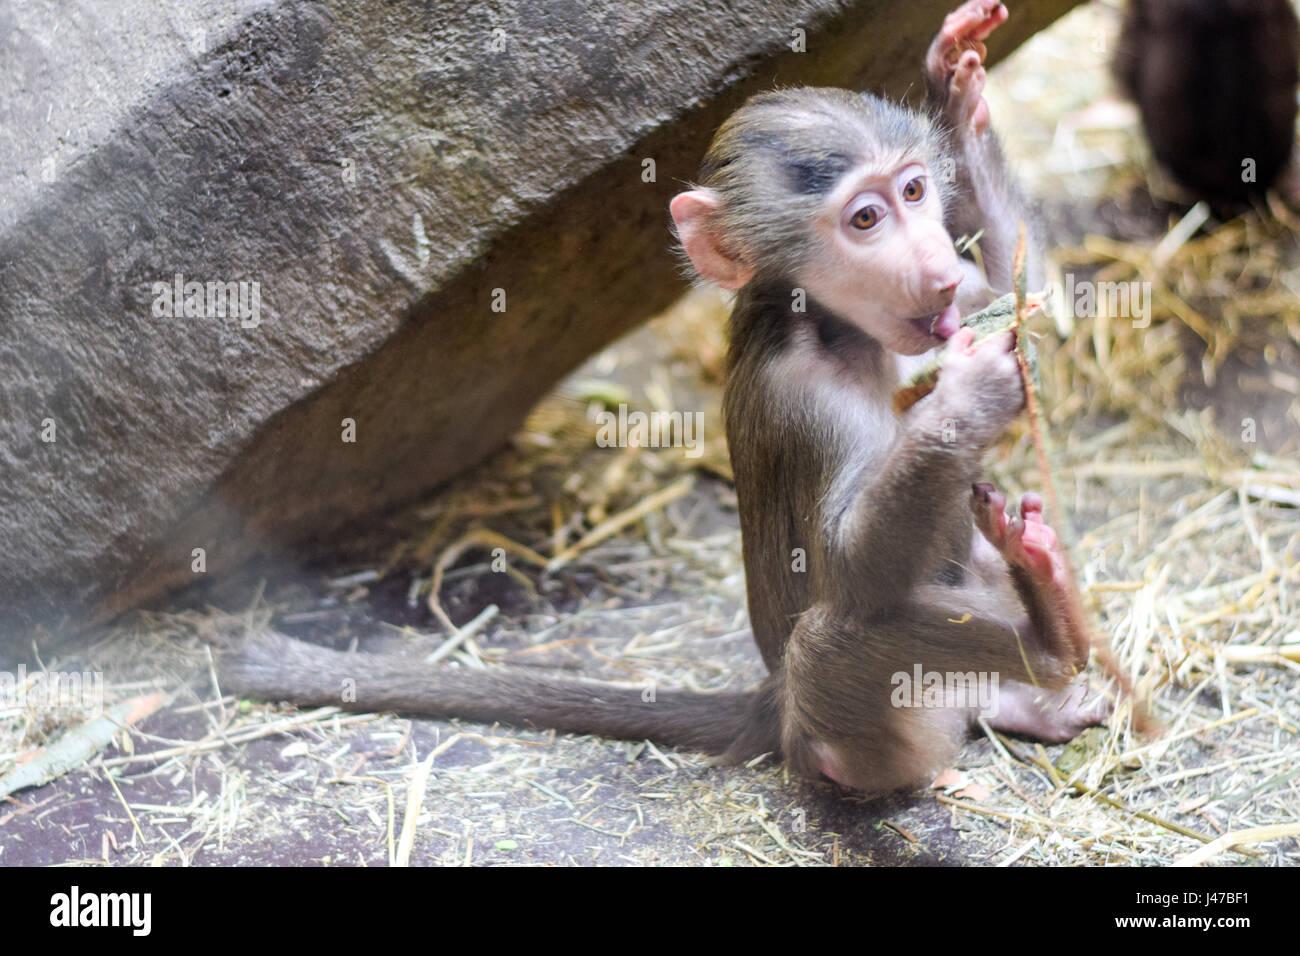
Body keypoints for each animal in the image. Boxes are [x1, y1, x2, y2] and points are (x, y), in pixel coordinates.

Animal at [221, 1, 1107, 794]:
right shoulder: (802, 395)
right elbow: (850, 570)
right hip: (857, 740)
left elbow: (1025, 299)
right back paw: (1048, 639)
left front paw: (955, 91)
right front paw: (974, 391)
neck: (832, 328)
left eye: (916, 192)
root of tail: (775, 710)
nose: (934, 268)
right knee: (833, 639)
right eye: (865, 219)